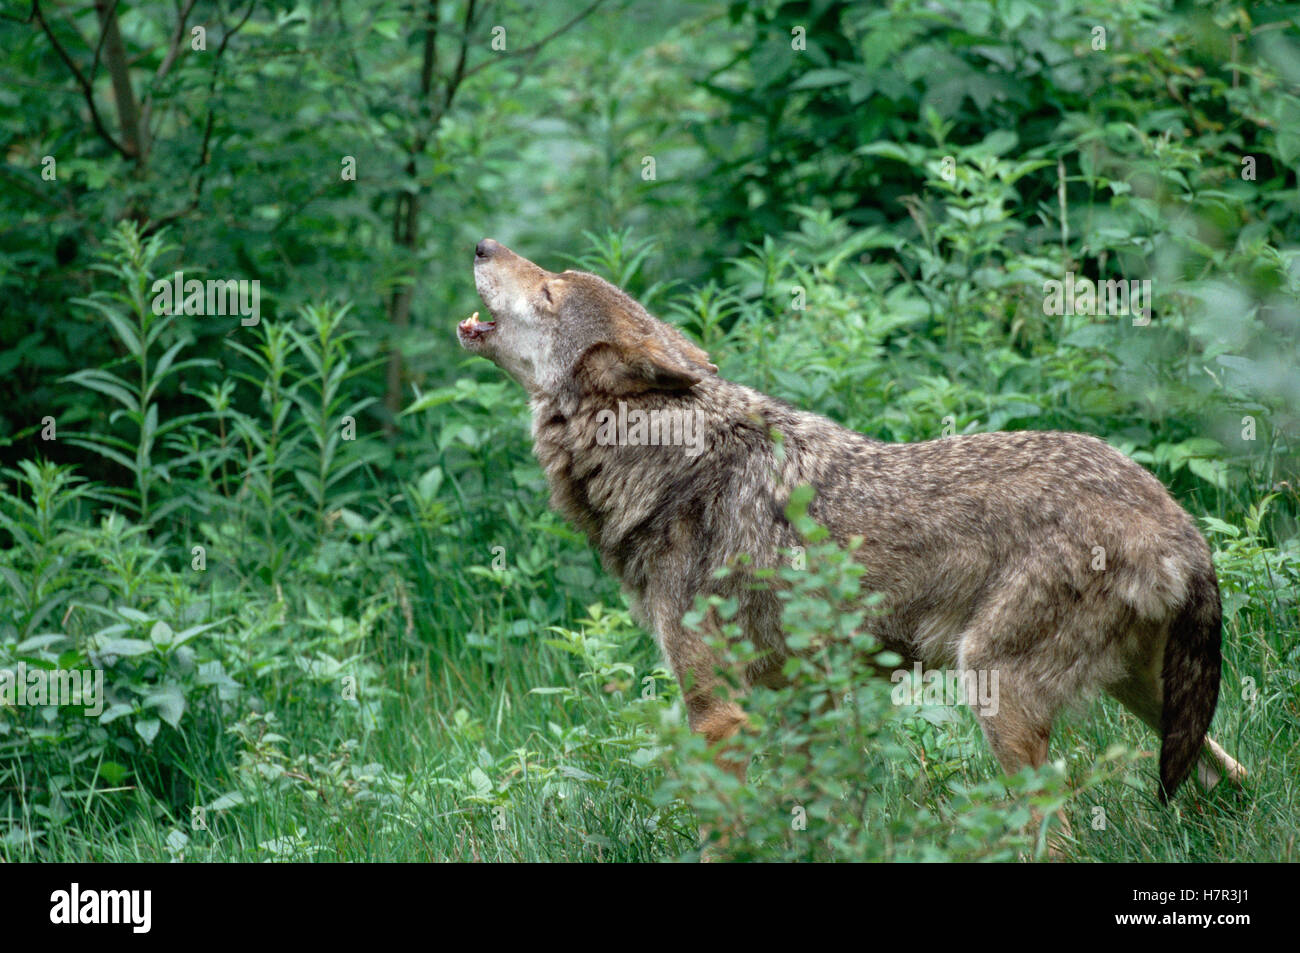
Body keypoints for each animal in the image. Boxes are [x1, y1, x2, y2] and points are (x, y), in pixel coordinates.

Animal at [458, 238, 1246, 804]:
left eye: (550, 289)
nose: (482, 242)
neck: (669, 463)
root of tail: (1181, 526)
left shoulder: (718, 715)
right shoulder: (811, 705)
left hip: (997, 690)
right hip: (1148, 699)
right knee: (1230, 776)